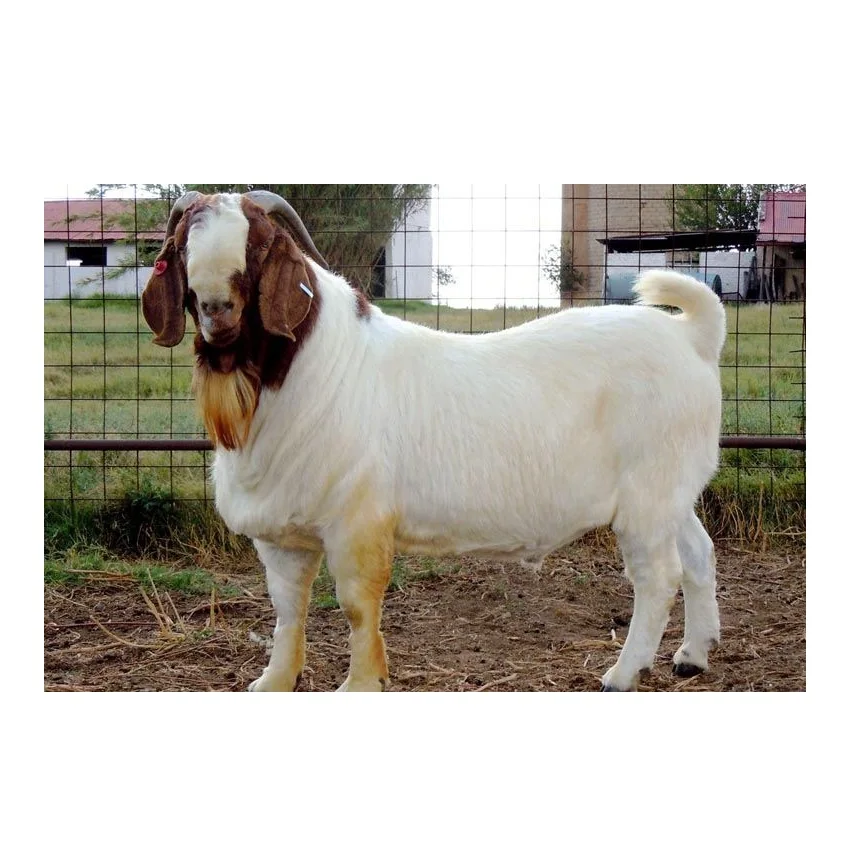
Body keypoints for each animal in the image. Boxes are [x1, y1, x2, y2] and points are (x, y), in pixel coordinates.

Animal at [142, 190, 726, 692]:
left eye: (258, 244)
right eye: (185, 243)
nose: (217, 307)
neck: (306, 369)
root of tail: (691, 337)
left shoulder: (357, 522)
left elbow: (358, 604)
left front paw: (361, 683)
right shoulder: (282, 534)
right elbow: (288, 609)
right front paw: (273, 681)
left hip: (648, 496)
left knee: (658, 577)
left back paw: (622, 673)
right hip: (673, 494)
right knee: (699, 553)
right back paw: (693, 656)